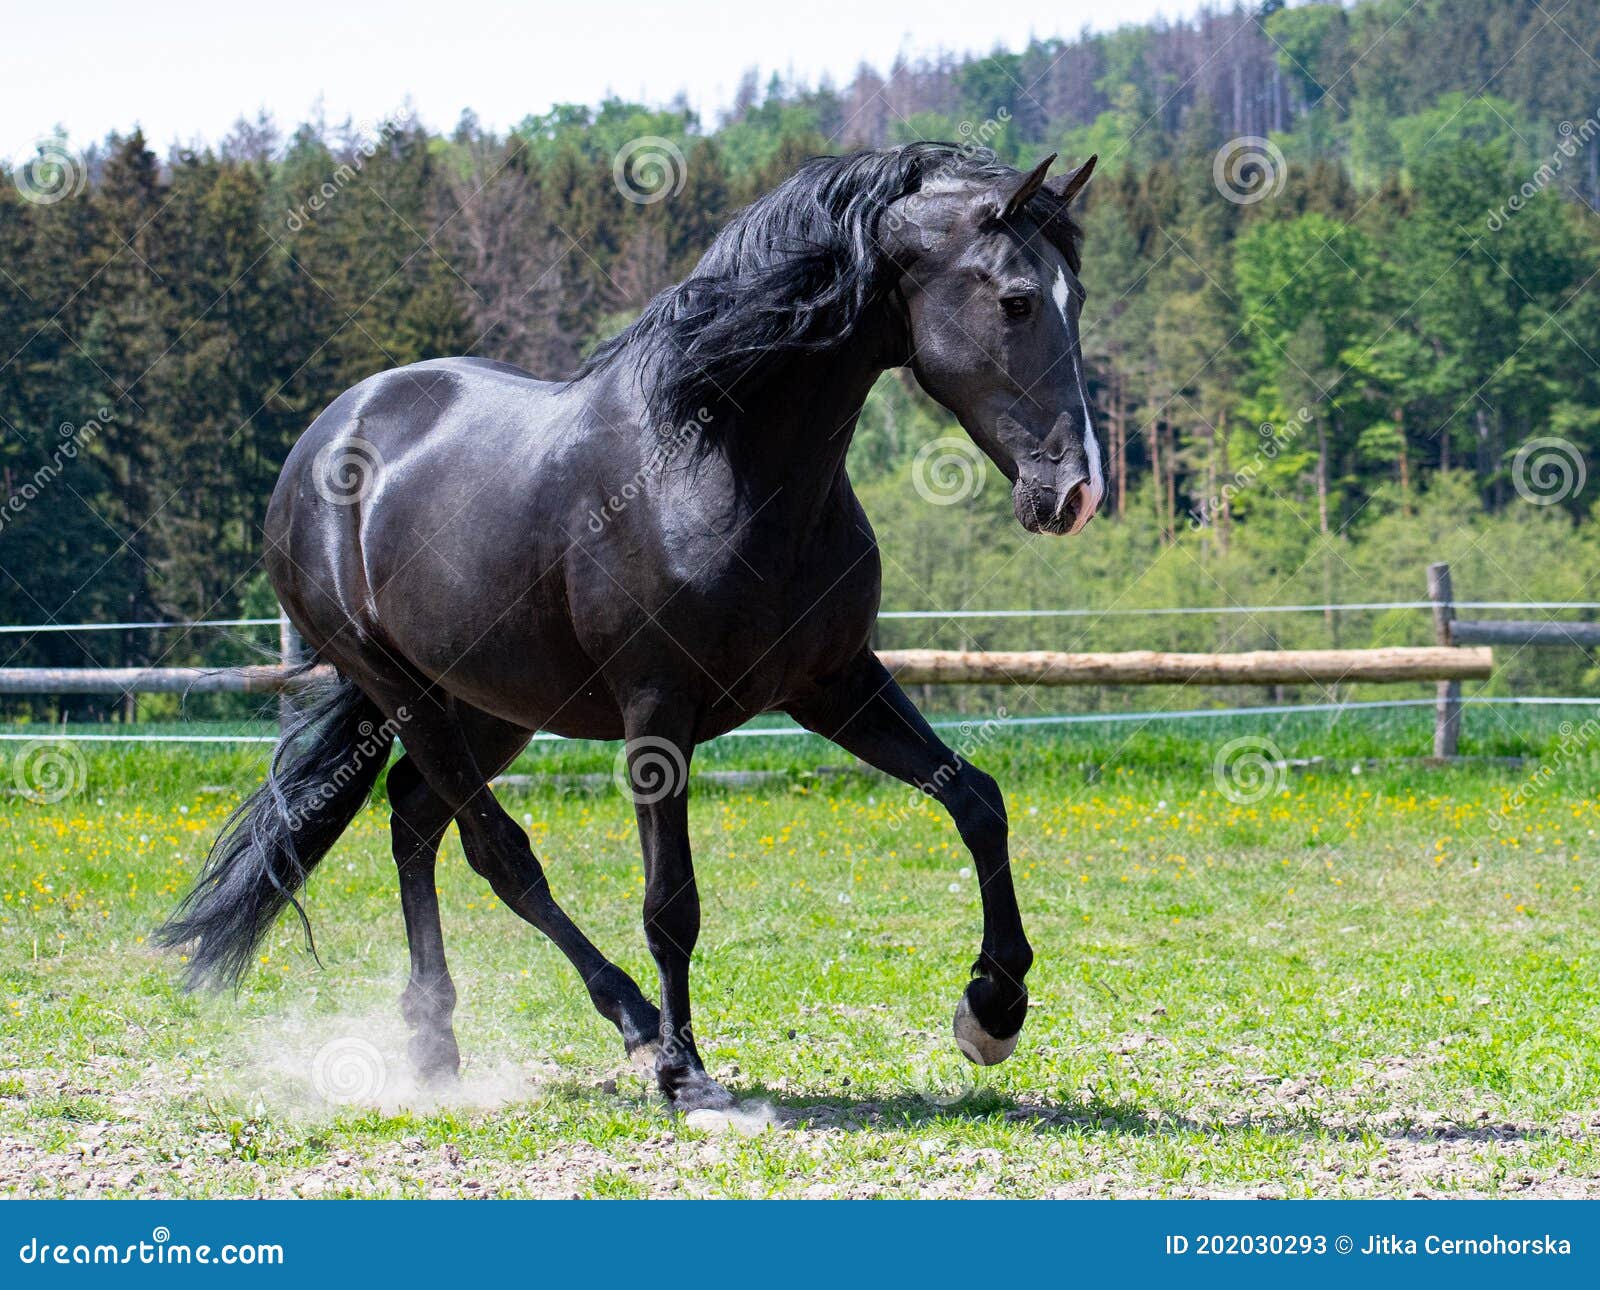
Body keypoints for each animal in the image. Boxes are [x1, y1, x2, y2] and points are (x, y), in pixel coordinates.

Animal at [159, 142, 1102, 1111]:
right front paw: (685, 1069)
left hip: (490, 702)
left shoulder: (835, 683)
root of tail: (330, 433)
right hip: (399, 686)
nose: (1074, 492)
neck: (725, 470)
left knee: (416, 818)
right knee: (496, 851)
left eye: (1075, 295)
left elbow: (975, 799)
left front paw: (993, 1009)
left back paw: (434, 1042)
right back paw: (632, 1022)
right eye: (1017, 301)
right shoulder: (658, 711)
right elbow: (670, 901)